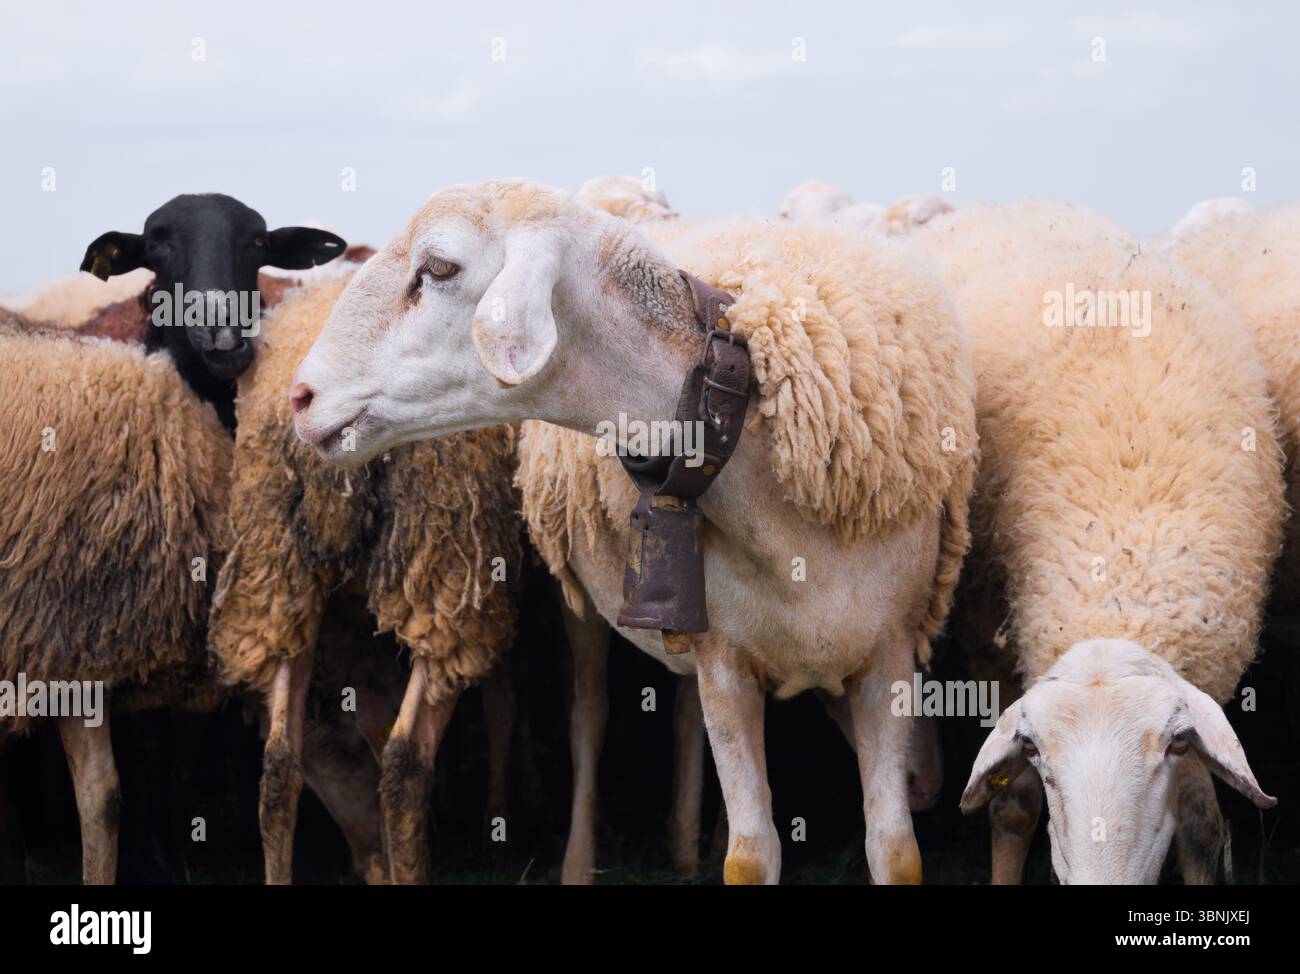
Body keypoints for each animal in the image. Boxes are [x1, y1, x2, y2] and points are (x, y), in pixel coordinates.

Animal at [208, 275, 523, 885]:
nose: (367, 860)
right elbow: (498, 704)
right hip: (444, 567)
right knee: (404, 762)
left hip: (281, 577)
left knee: (279, 765)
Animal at [289, 178, 978, 884]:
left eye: (439, 267)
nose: (301, 396)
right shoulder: (727, 663)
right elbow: (750, 857)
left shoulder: (889, 654)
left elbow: (897, 853)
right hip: (585, 609)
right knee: (587, 718)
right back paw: (580, 857)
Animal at [911, 202, 1283, 884]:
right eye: (1035, 751)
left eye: (1175, 744)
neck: (1122, 566)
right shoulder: (989, 640)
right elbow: (1012, 808)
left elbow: (1200, 827)